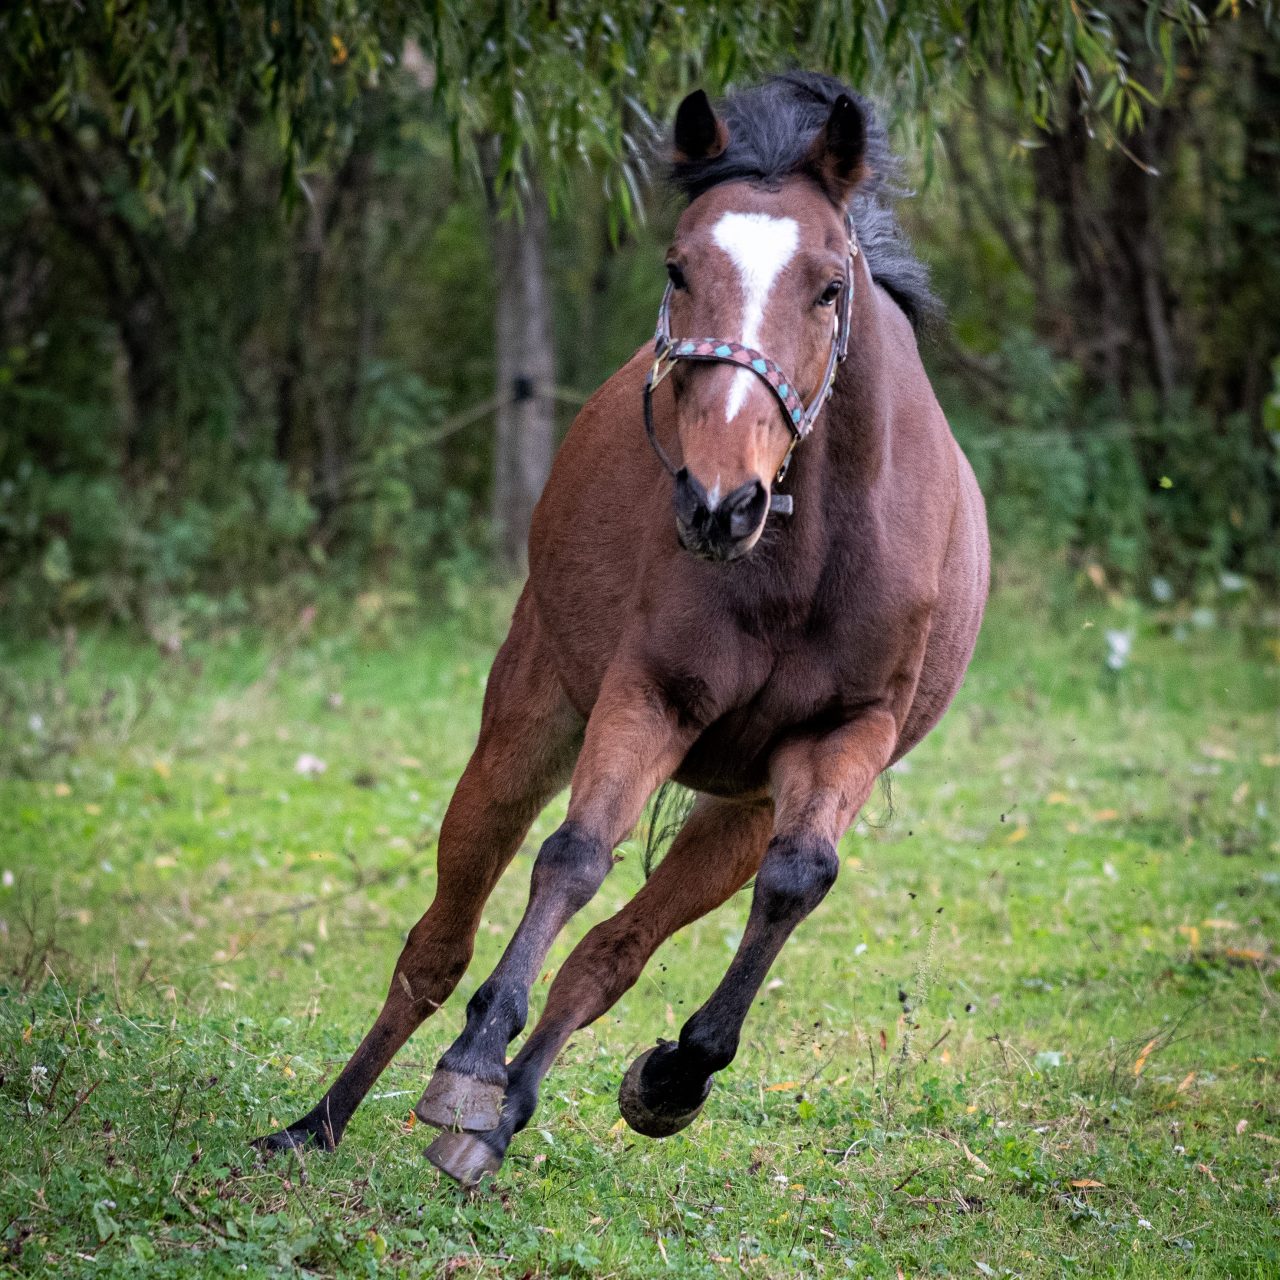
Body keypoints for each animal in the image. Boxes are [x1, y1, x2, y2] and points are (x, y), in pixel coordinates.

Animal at [257, 71, 989, 1187]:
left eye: (828, 286)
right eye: (678, 268)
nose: (720, 502)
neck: (810, 550)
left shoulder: (843, 736)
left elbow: (794, 880)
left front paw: (673, 1074)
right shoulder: (649, 692)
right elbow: (573, 855)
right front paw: (474, 1055)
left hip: (734, 810)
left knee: (614, 952)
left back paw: (500, 1119)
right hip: (528, 718)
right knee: (438, 943)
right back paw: (324, 1118)